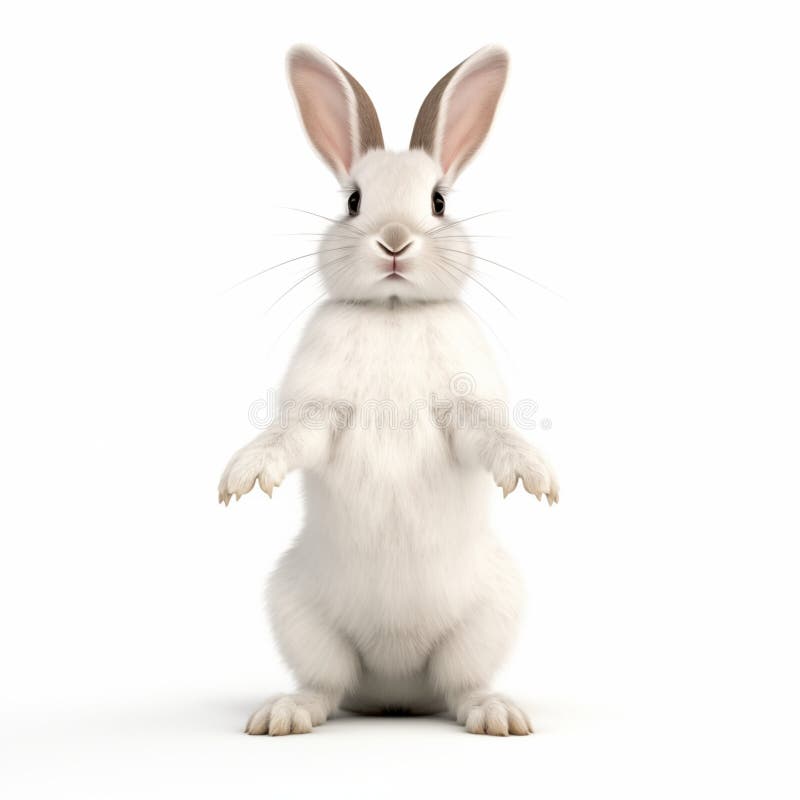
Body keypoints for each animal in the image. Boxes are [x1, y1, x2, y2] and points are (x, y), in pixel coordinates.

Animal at [218, 44, 558, 736]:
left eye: (438, 202)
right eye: (353, 200)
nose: (395, 241)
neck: (394, 313)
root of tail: (395, 691)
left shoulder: (466, 409)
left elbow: (491, 432)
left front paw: (531, 474)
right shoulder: (319, 411)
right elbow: (291, 436)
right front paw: (246, 474)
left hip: (487, 617)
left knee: (462, 685)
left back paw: (496, 714)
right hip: (298, 612)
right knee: (326, 685)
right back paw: (286, 714)